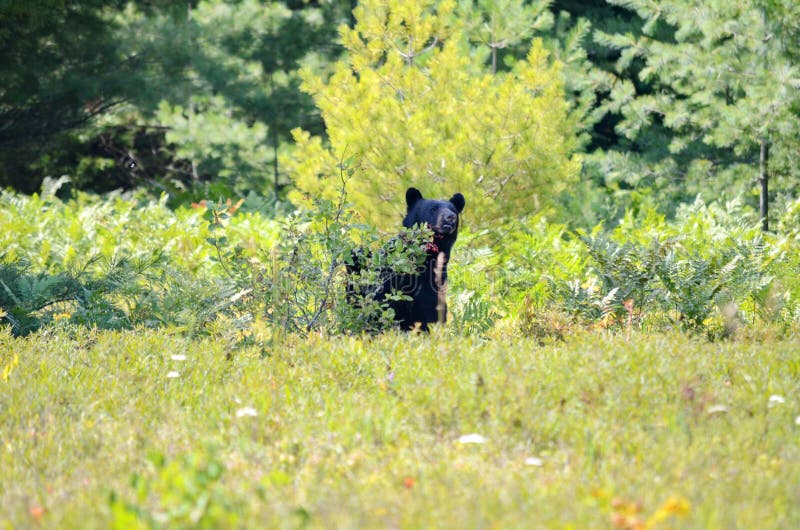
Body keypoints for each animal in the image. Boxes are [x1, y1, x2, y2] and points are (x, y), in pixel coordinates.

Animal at [347, 187, 466, 331]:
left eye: (453, 210)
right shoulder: (389, 279)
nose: (451, 217)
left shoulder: (434, 283)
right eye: (433, 209)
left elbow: (429, 312)